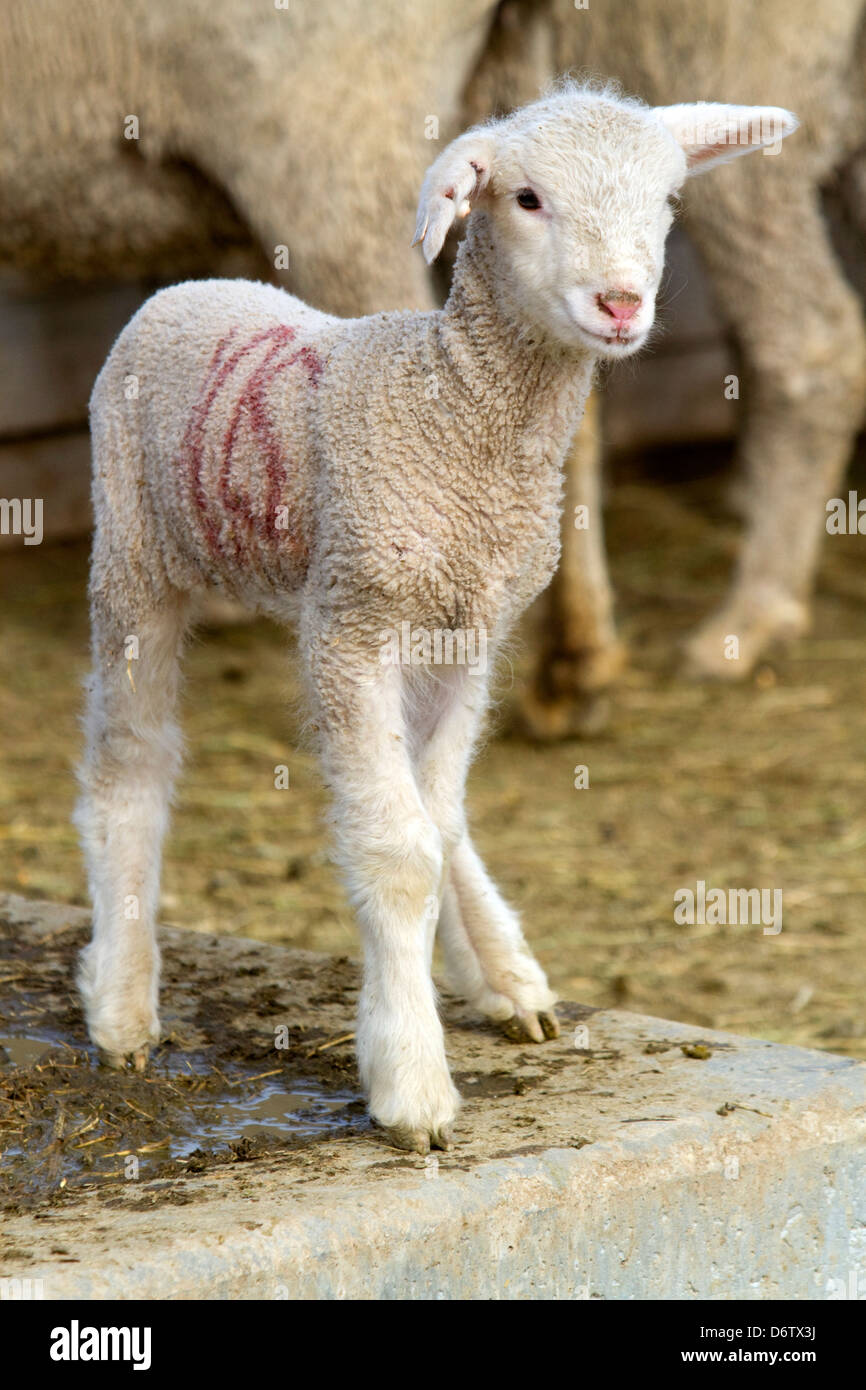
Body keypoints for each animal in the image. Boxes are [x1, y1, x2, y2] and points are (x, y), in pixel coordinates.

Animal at [75, 85, 798, 1151]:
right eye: (527, 199)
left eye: (670, 200)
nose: (621, 304)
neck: (454, 407)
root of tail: (188, 287)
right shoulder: (354, 625)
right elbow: (400, 847)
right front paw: (411, 1081)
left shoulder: (468, 632)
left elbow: (441, 815)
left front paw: (493, 977)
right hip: (136, 555)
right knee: (131, 762)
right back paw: (123, 1002)